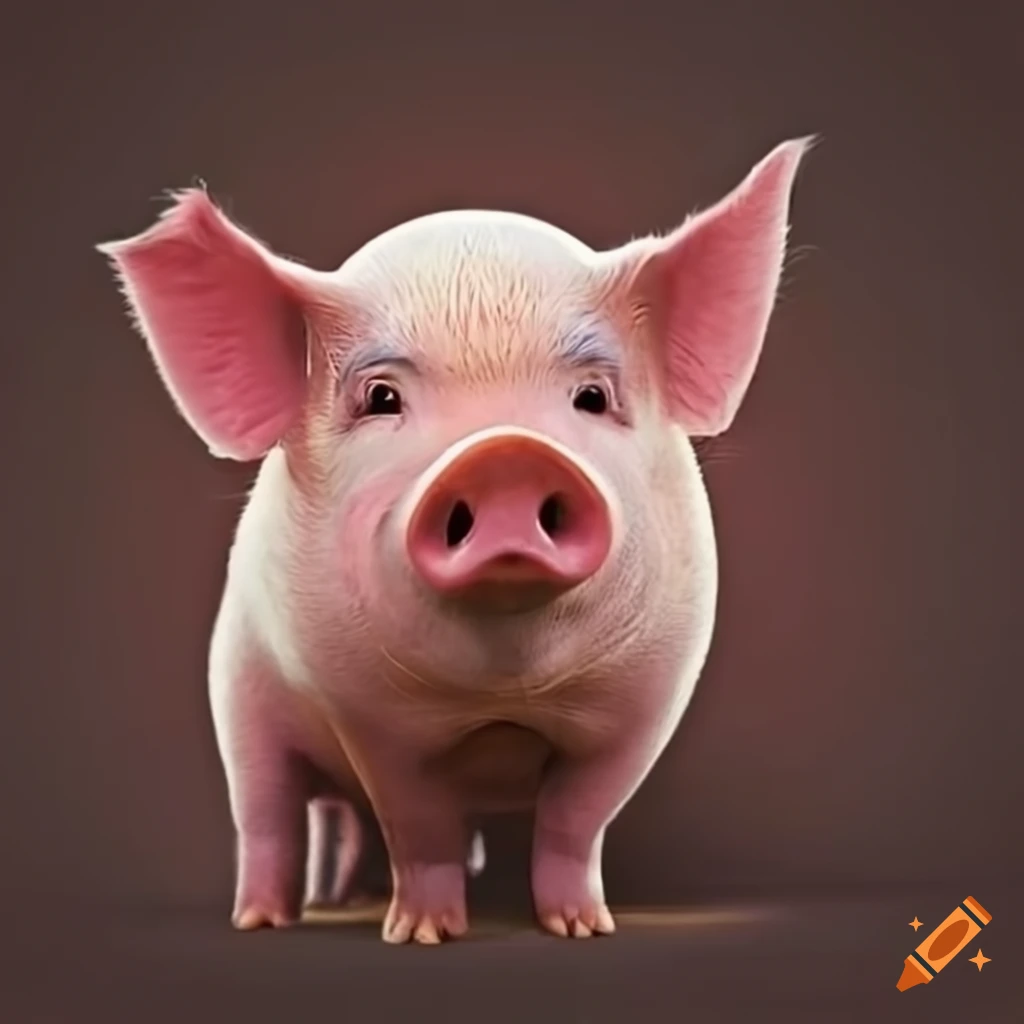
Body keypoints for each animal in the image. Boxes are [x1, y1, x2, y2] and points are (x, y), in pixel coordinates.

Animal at [97, 137, 811, 944]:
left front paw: (582, 928)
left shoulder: (642, 707)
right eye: (381, 398)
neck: (501, 696)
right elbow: (418, 824)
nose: (506, 453)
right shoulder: (369, 719)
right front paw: (423, 935)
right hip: (239, 692)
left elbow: (577, 819)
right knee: (269, 809)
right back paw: (269, 919)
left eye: (592, 396)